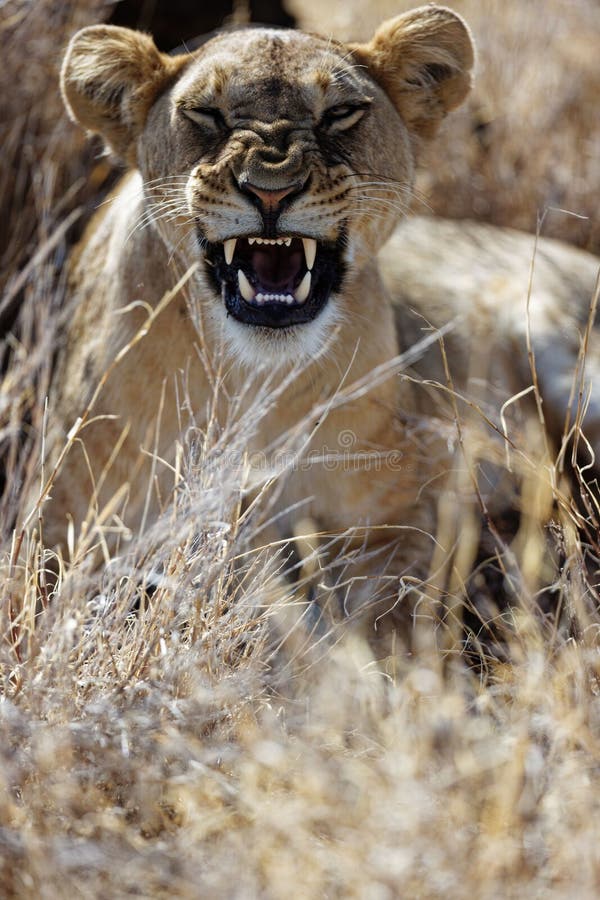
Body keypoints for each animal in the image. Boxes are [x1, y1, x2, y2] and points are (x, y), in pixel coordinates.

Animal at [31, 6, 600, 645]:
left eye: (341, 113)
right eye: (205, 113)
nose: (270, 188)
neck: (251, 376)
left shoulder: (403, 510)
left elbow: (387, 614)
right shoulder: (60, 531)